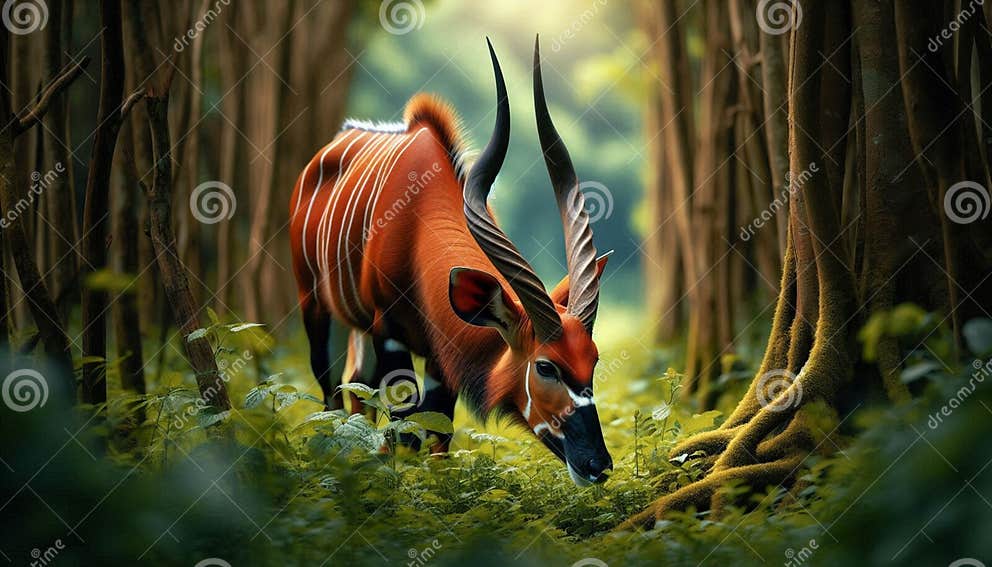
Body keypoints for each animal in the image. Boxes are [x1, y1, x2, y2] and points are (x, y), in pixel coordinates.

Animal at [289, 38, 613, 485]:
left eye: (593, 359)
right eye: (547, 367)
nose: (597, 464)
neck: (417, 219)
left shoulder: (442, 356)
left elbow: (437, 427)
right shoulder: (388, 332)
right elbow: (405, 426)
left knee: (356, 389)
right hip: (316, 306)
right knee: (332, 388)